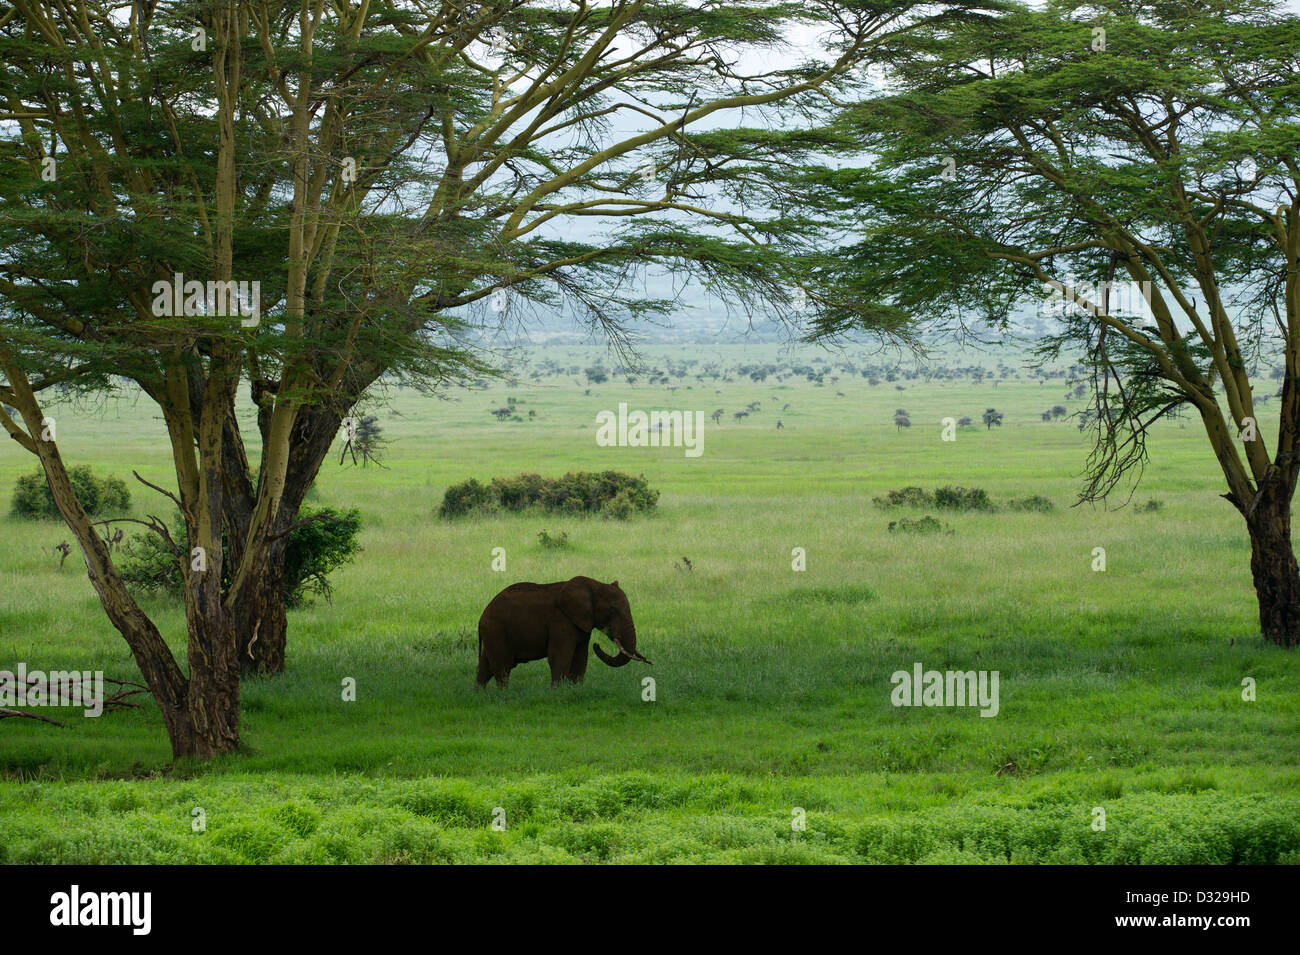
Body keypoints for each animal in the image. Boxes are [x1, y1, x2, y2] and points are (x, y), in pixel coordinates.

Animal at [476, 576, 652, 688]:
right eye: (613, 611)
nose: (597, 645)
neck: (594, 585)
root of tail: (482, 616)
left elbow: (581, 657)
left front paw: (575, 690)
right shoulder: (561, 621)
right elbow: (560, 656)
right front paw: (556, 692)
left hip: (492, 632)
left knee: (486, 665)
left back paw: (480, 694)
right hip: (496, 630)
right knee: (503, 666)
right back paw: (503, 694)